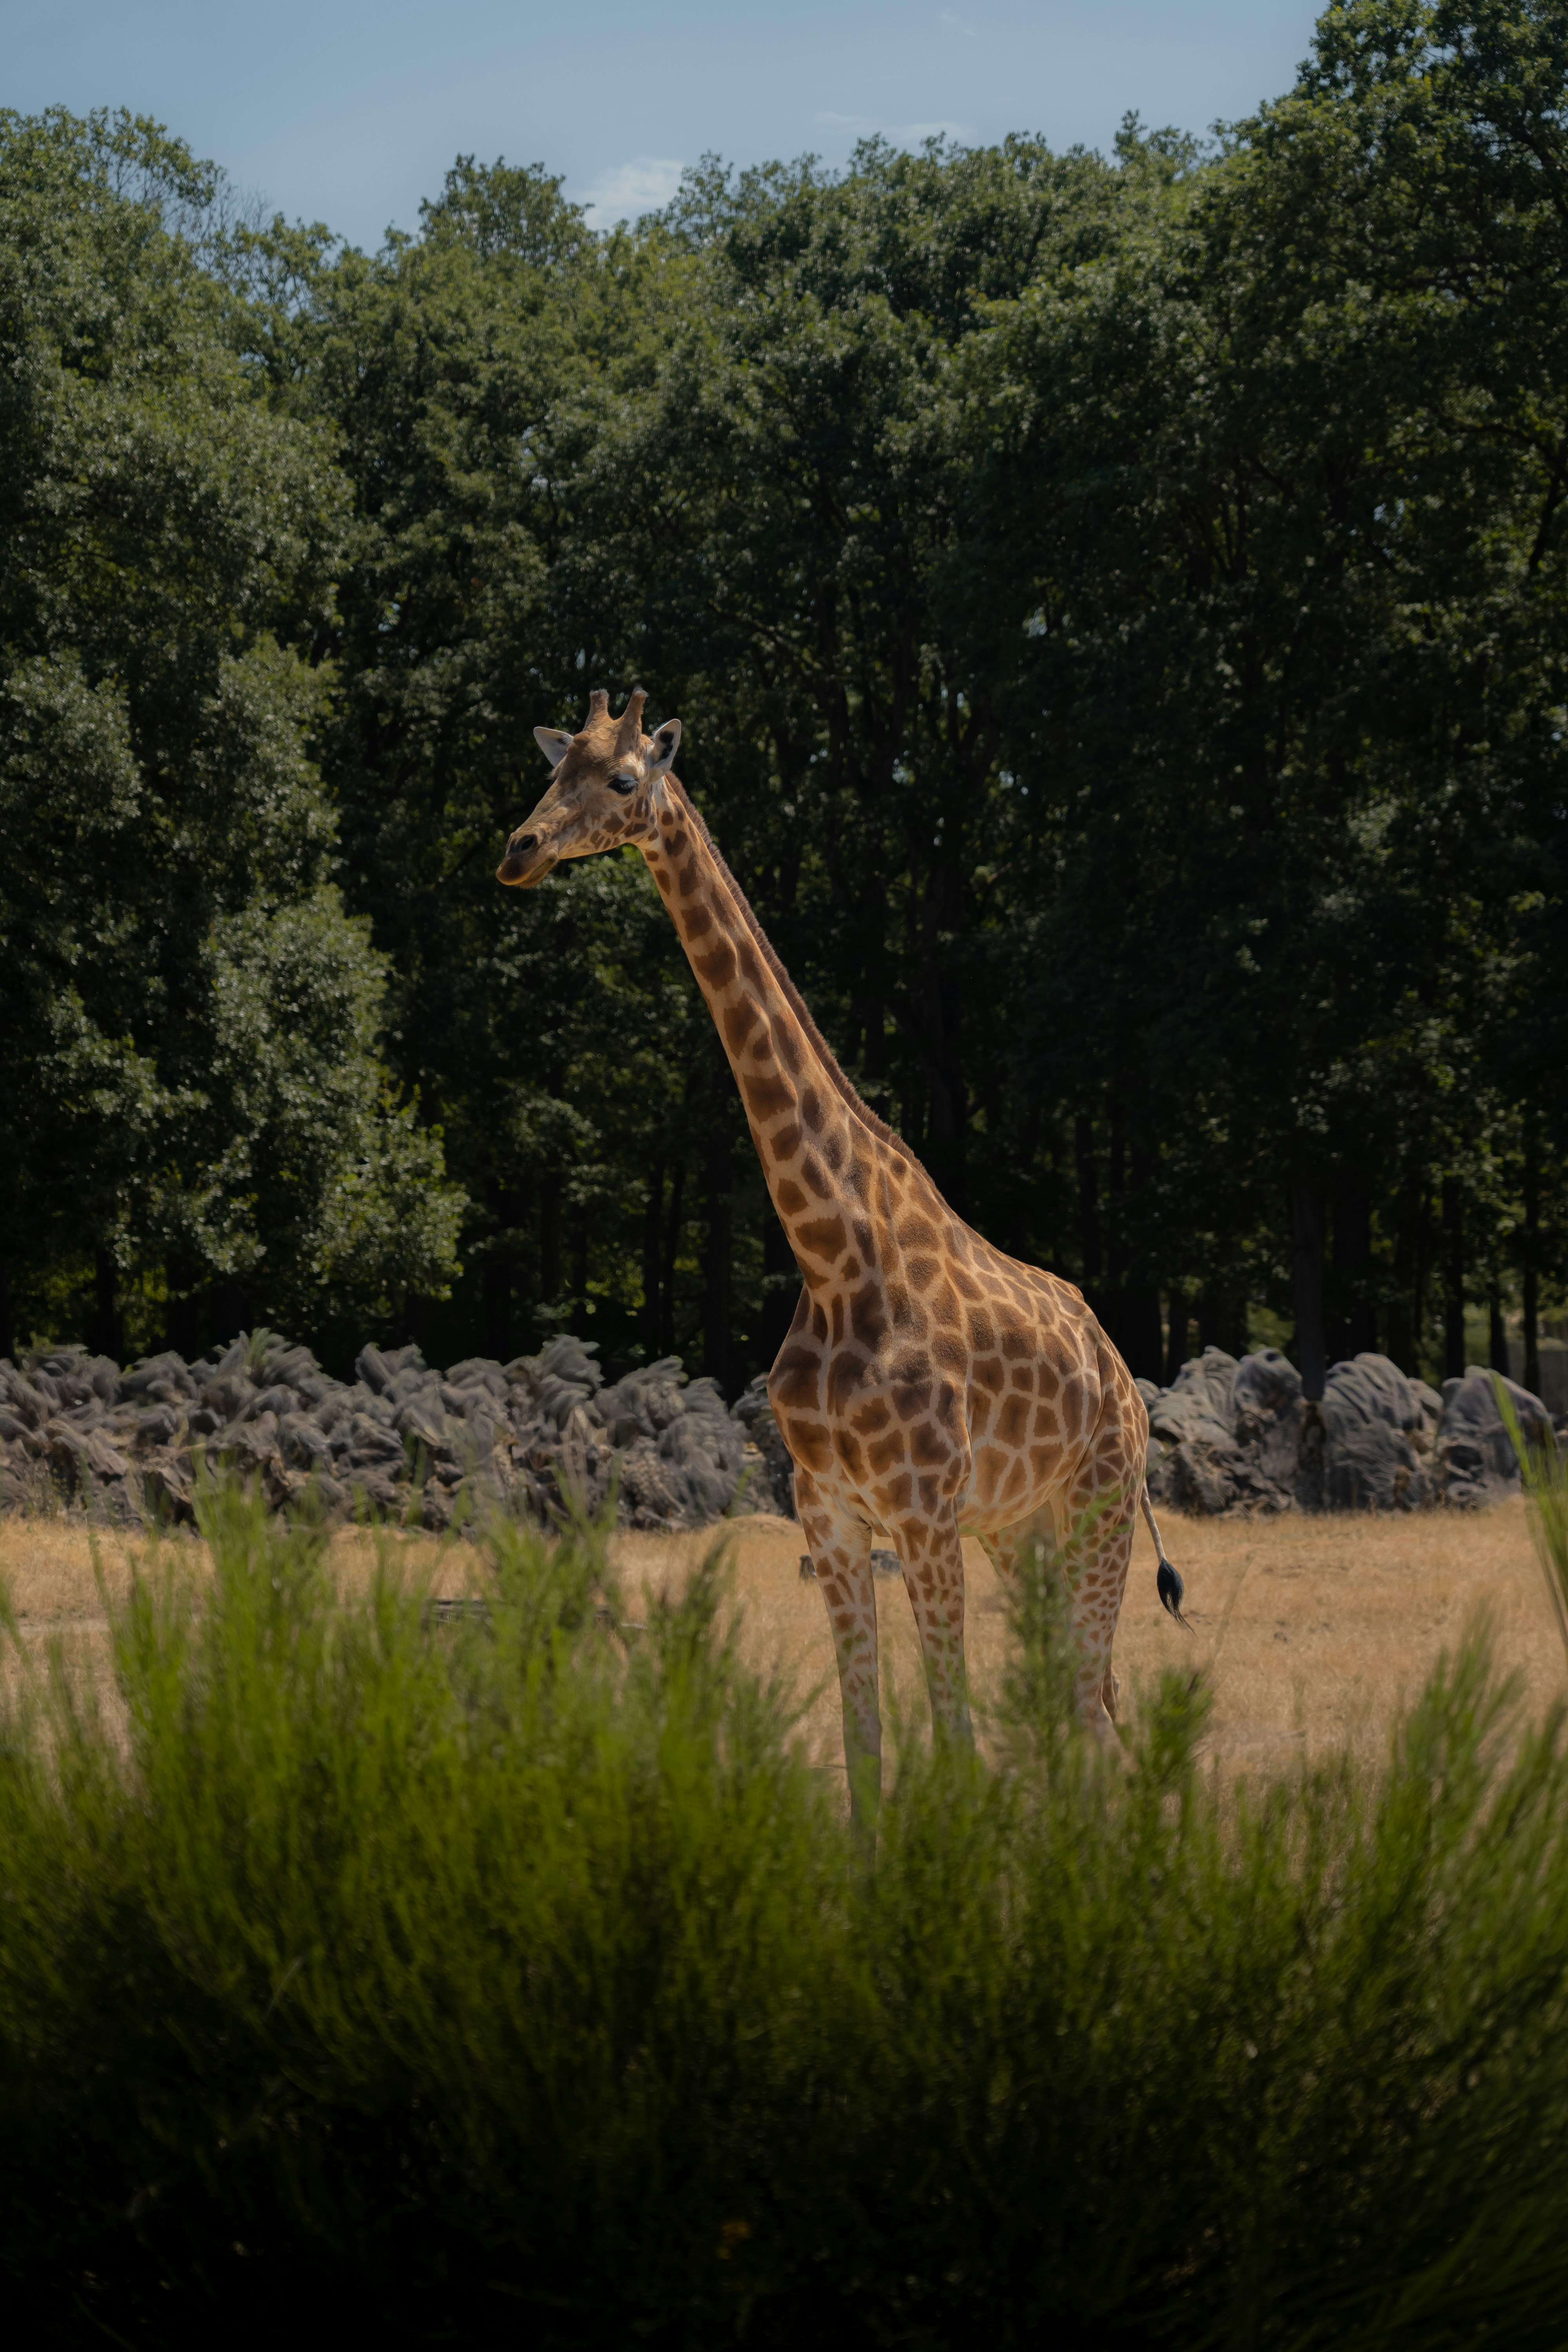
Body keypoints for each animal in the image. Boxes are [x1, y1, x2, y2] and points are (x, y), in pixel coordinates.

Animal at [498, 690, 1187, 1814]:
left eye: (622, 780)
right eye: (553, 771)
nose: (517, 851)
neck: (828, 1250)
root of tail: (1123, 1376)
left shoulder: (922, 1515)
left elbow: (951, 1743)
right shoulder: (827, 1514)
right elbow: (865, 1749)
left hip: (1097, 1508)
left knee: (1091, 1712)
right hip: (1023, 1532)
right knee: (1091, 1707)